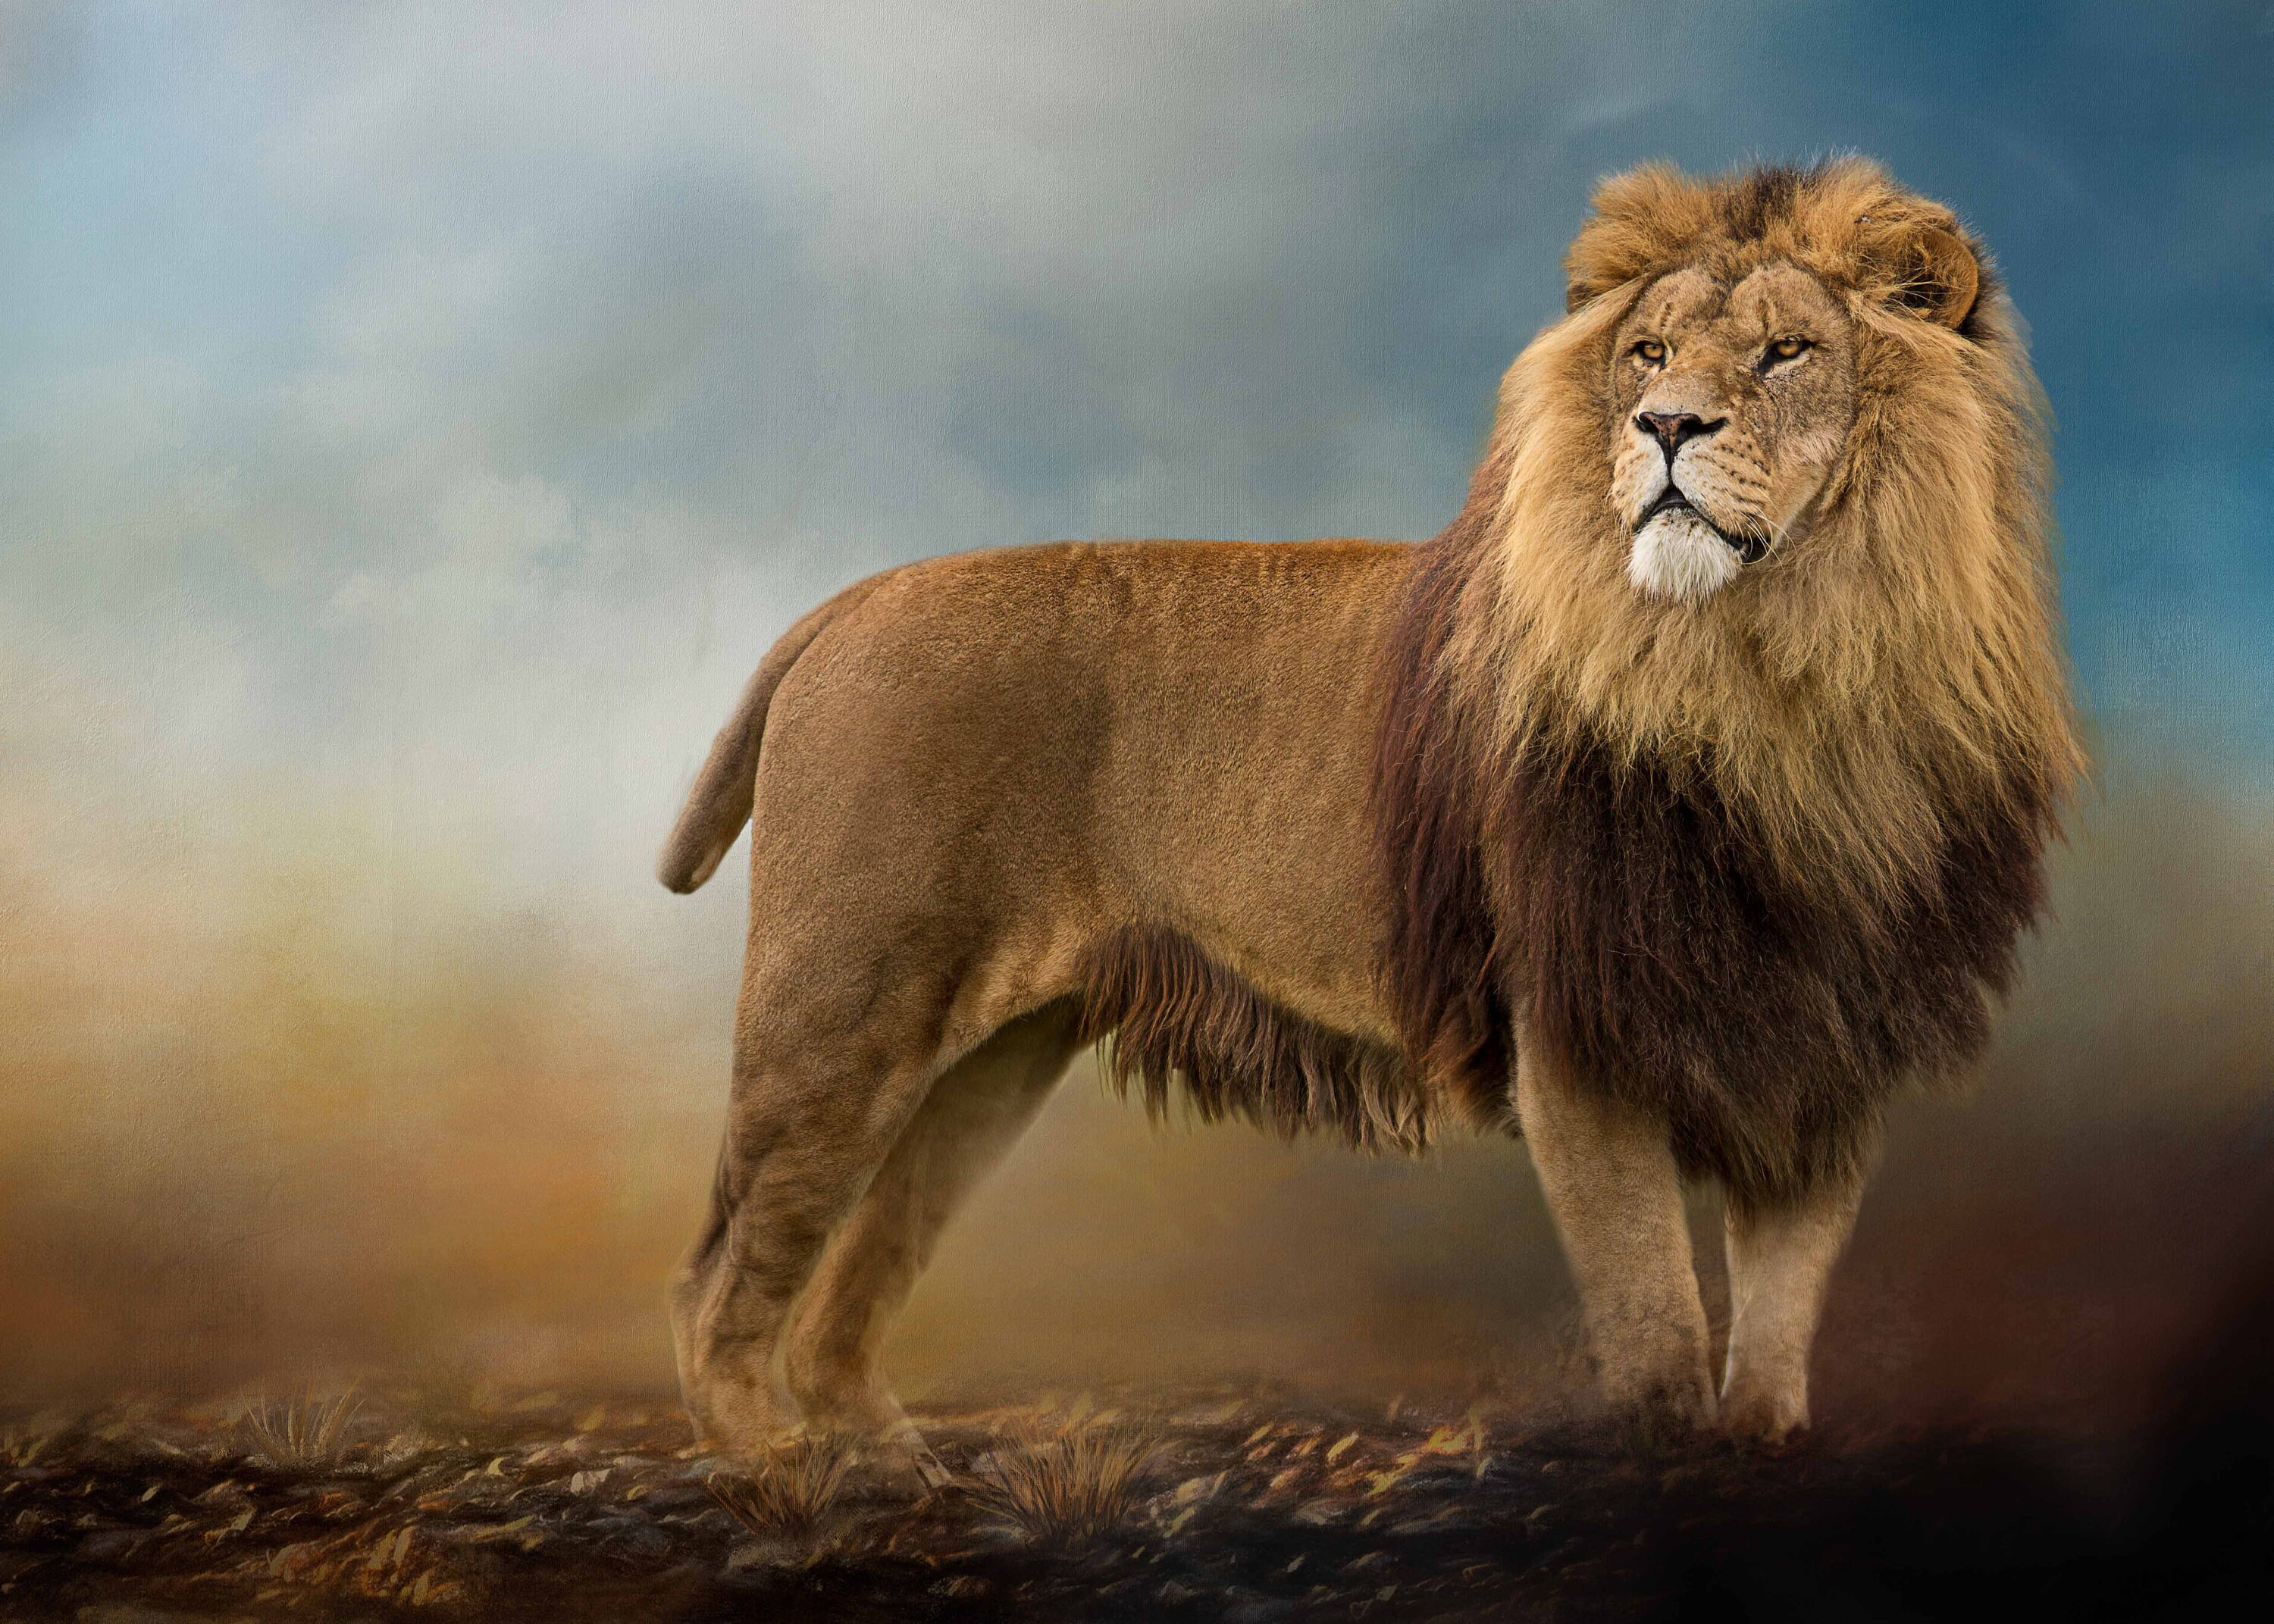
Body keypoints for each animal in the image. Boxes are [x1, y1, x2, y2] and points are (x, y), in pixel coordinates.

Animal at [656, 158, 2081, 1457]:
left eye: (1789, 351)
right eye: (1649, 354)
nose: (1666, 426)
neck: (1777, 676)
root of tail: (856, 597)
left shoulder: (1830, 1043)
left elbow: (1781, 1312)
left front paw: (1762, 1448)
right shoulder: (1576, 1036)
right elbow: (1657, 1315)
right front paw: (1666, 1453)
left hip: (987, 1069)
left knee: (845, 1285)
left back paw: (886, 1461)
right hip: (843, 1009)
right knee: (719, 1275)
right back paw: (772, 1470)